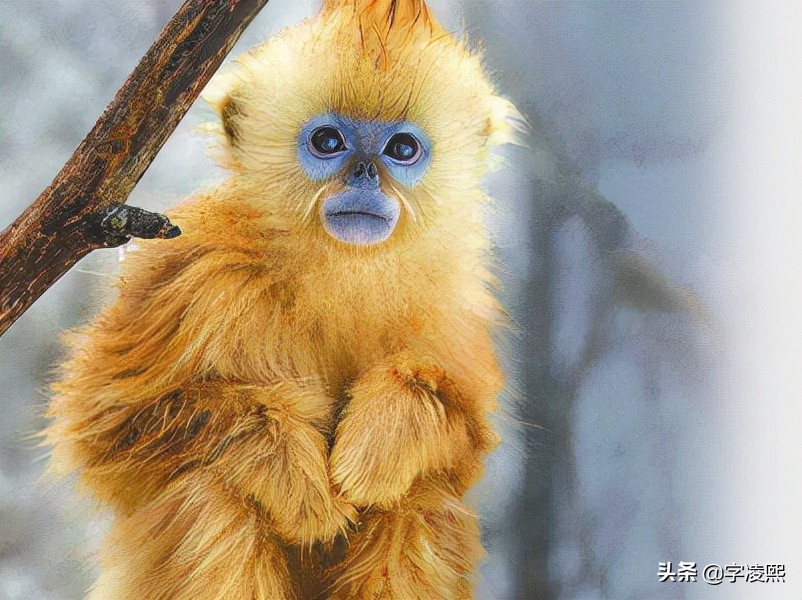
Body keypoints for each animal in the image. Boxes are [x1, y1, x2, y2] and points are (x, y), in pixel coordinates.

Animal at [45, 0, 522, 598]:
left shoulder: (453, 298)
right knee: (210, 492)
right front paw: (294, 476)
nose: (365, 175)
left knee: (420, 499)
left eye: (402, 149)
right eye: (328, 143)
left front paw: (384, 436)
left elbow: (462, 443)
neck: (334, 268)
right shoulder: (196, 270)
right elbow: (107, 427)